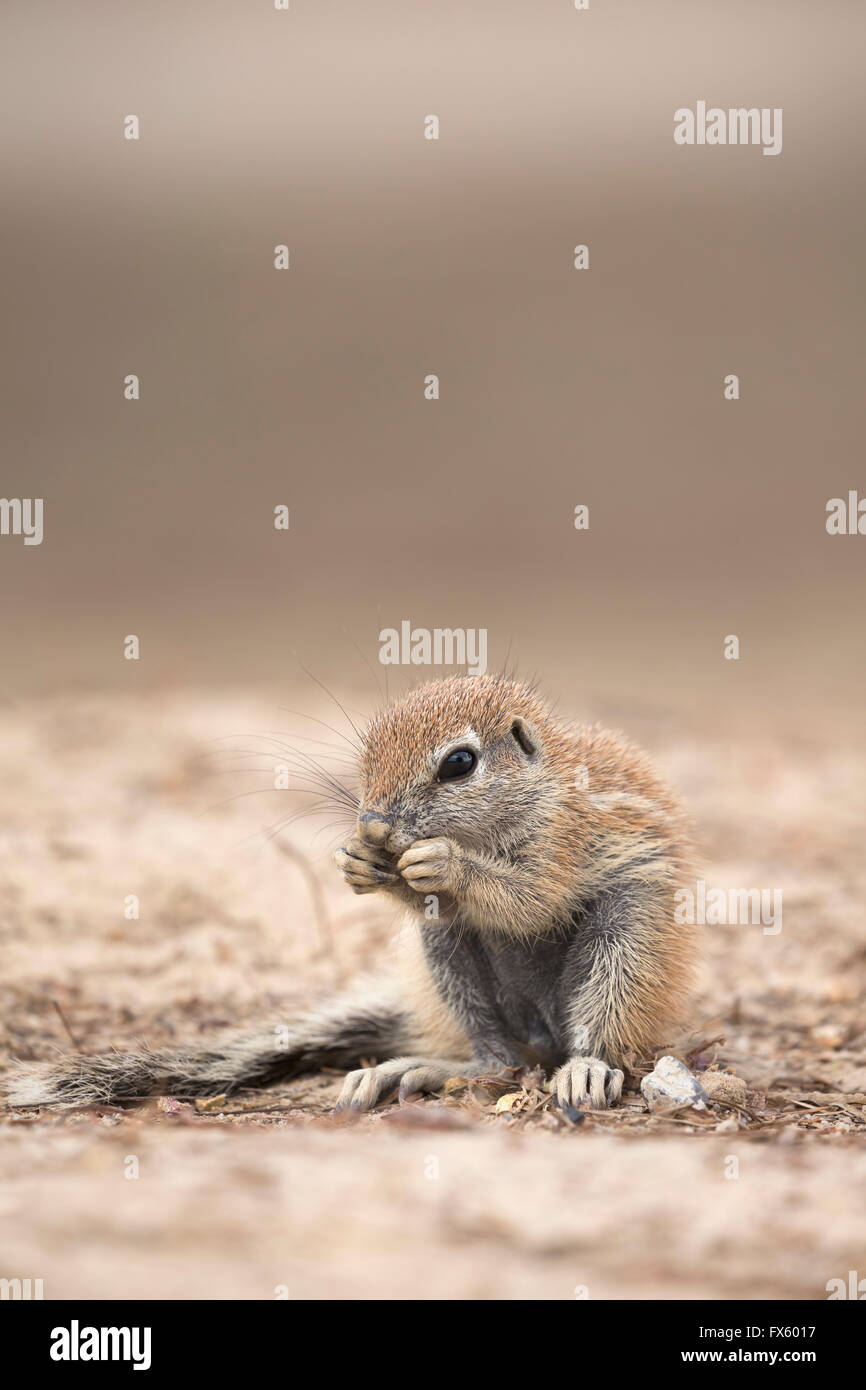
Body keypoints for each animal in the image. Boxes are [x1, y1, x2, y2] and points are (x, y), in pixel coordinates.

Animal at [4, 675, 696, 1112]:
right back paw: (425, 1069)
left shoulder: (562, 838)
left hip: (627, 940)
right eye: (369, 753)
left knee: (600, 1023)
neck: (531, 790)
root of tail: (543, 1041)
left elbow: (535, 899)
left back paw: (585, 1067)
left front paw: (447, 864)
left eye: (459, 763)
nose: (374, 825)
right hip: (446, 958)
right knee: (496, 1056)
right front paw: (358, 863)